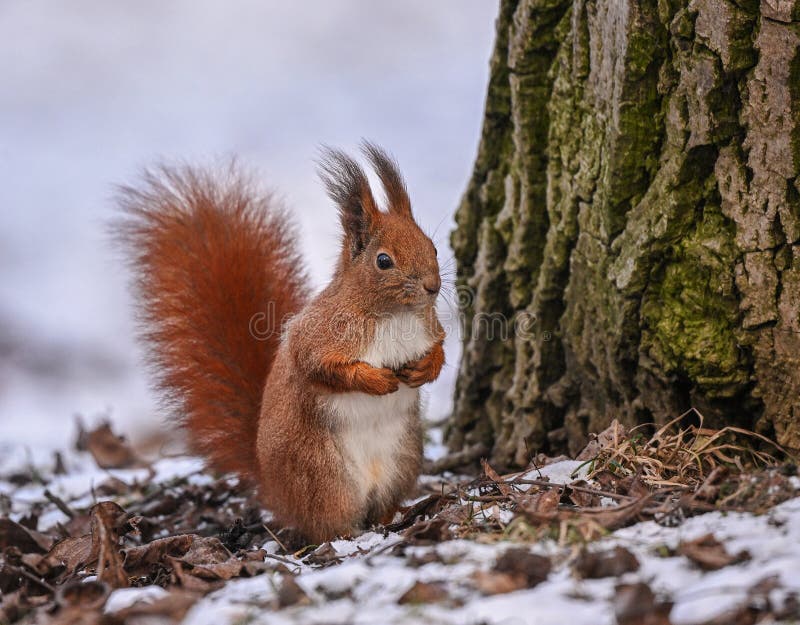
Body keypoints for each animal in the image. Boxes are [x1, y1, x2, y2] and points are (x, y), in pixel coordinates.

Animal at [116, 142, 445, 542]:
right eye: (384, 261)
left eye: (433, 247)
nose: (433, 286)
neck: (393, 314)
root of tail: (275, 490)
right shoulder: (318, 337)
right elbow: (323, 367)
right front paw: (376, 380)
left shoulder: (429, 327)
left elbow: (440, 347)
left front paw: (425, 369)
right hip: (324, 477)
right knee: (326, 522)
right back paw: (345, 535)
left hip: (402, 459)